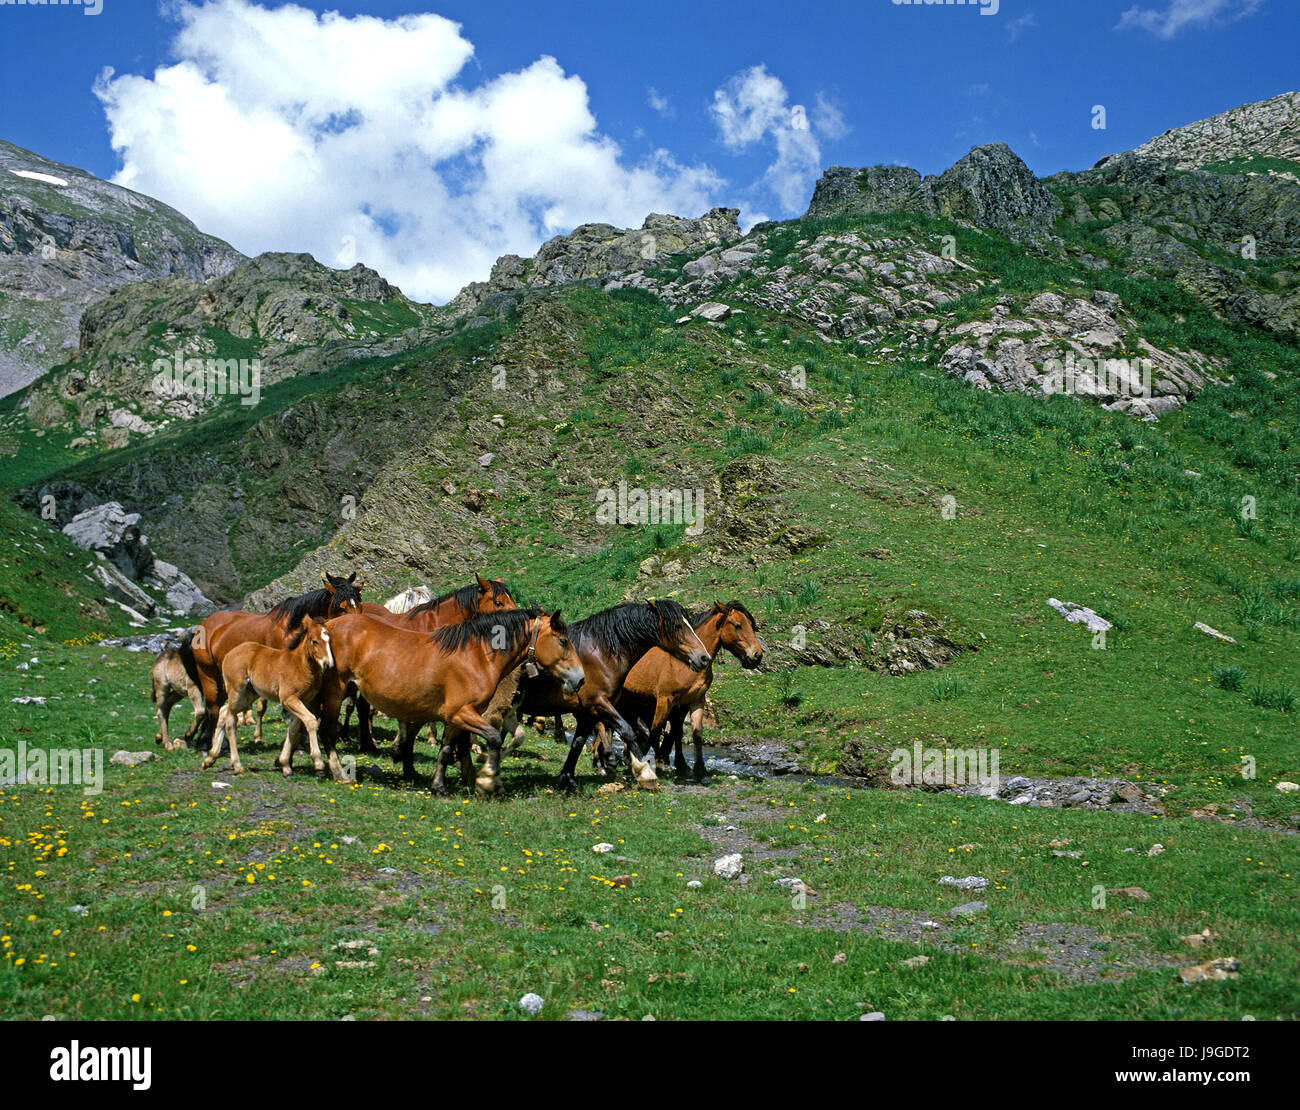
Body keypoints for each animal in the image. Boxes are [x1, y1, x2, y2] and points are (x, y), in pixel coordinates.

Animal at [181, 572, 363, 749]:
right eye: (341, 607)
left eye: (359, 606)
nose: (357, 632)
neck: (290, 629)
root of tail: (203, 625)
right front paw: (301, 743)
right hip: (208, 674)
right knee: (213, 707)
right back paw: (204, 742)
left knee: (219, 707)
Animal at [201, 616, 335, 777]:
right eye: (314, 641)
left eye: (329, 640)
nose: (328, 665)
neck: (301, 666)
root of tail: (229, 654)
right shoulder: (288, 699)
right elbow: (311, 721)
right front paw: (318, 762)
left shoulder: (304, 701)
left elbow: (294, 729)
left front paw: (285, 764)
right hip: (236, 691)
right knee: (230, 721)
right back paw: (237, 765)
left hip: (248, 695)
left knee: (223, 712)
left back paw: (210, 758)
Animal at [318, 608, 583, 794]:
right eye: (563, 641)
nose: (580, 679)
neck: (478, 656)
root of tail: (328, 625)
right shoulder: (462, 713)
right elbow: (494, 738)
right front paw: (489, 779)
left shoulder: (456, 717)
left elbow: (446, 750)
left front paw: (439, 786)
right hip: (334, 694)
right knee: (328, 732)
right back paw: (338, 772)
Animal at [514, 599, 711, 792]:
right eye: (677, 626)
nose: (704, 658)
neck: (600, 655)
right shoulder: (599, 703)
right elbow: (627, 732)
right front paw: (645, 773)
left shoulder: (588, 712)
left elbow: (578, 743)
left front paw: (567, 779)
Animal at [610, 601, 763, 780]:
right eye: (737, 625)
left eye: (751, 626)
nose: (757, 656)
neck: (685, 663)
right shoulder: (665, 701)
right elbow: (657, 732)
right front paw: (652, 763)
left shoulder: (694, 701)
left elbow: (692, 734)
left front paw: (697, 769)